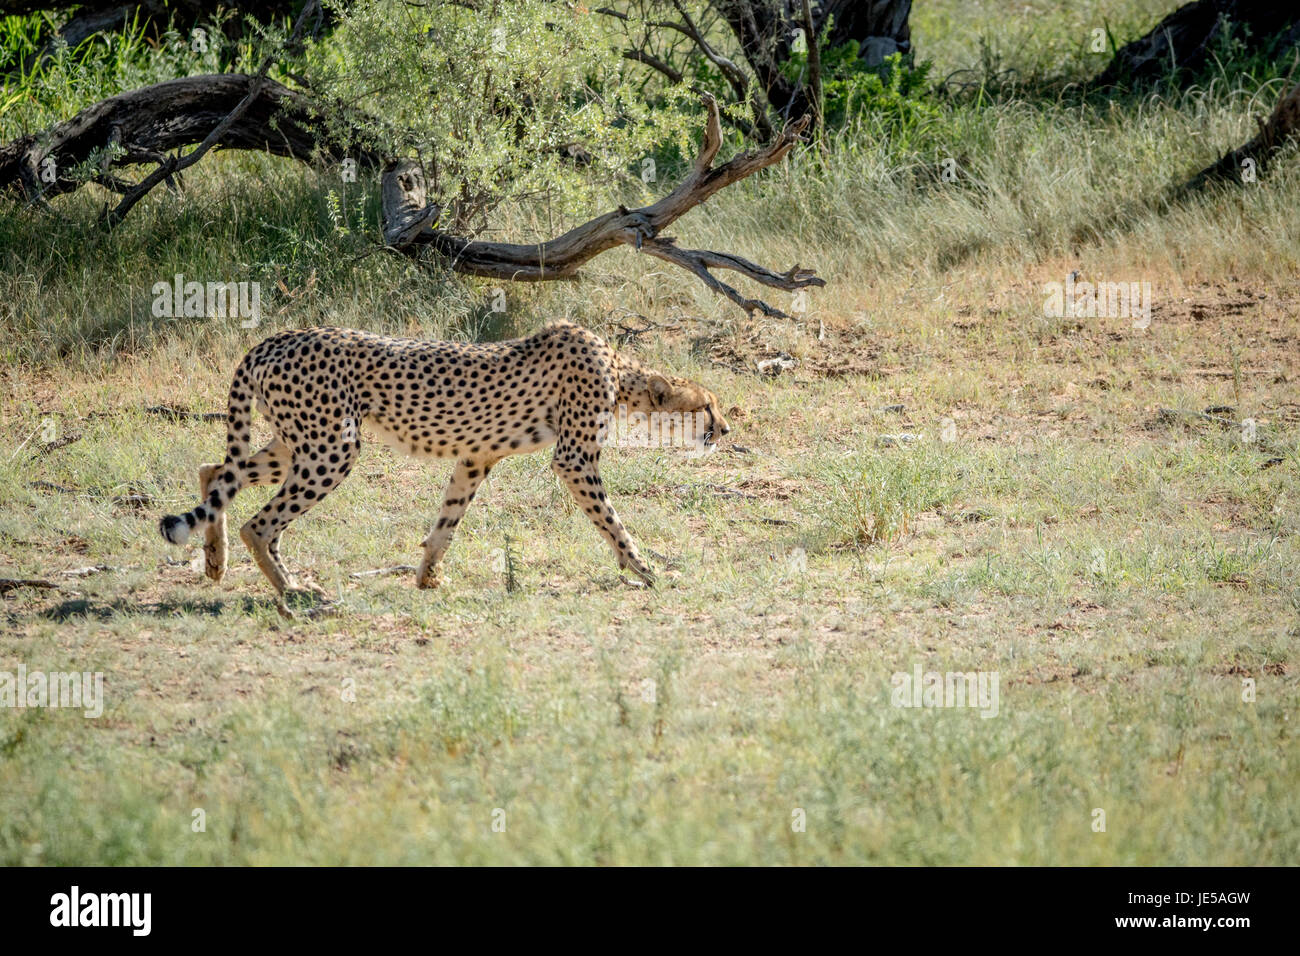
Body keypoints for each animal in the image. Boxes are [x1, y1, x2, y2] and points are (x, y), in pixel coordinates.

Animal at [158, 321, 730, 614]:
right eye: (709, 406)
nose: (725, 430)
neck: (618, 367)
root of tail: (275, 338)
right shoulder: (574, 458)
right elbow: (611, 520)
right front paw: (646, 568)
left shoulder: (477, 456)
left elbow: (447, 521)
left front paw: (428, 576)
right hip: (331, 447)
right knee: (259, 521)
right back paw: (293, 591)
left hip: (300, 441)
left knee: (215, 471)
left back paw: (215, 562)